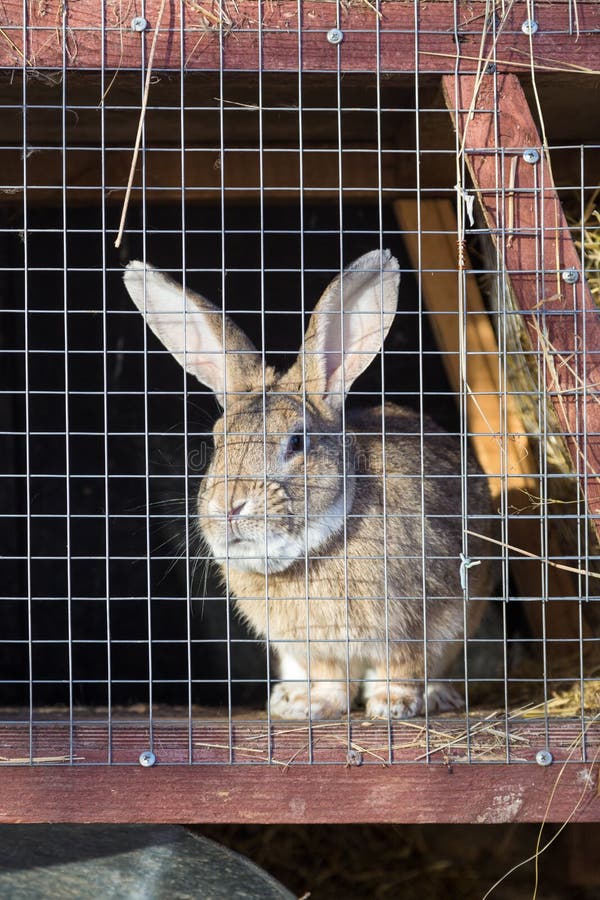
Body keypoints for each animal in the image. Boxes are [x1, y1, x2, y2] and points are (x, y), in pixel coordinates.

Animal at [123, 250, 494, 720]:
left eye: (297, 441)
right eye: (219, 439)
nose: (229, 507)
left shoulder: (420, 620)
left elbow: (404, 664)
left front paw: (393, 705)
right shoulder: (315, 647)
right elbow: (330, 675)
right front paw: (314, 706)